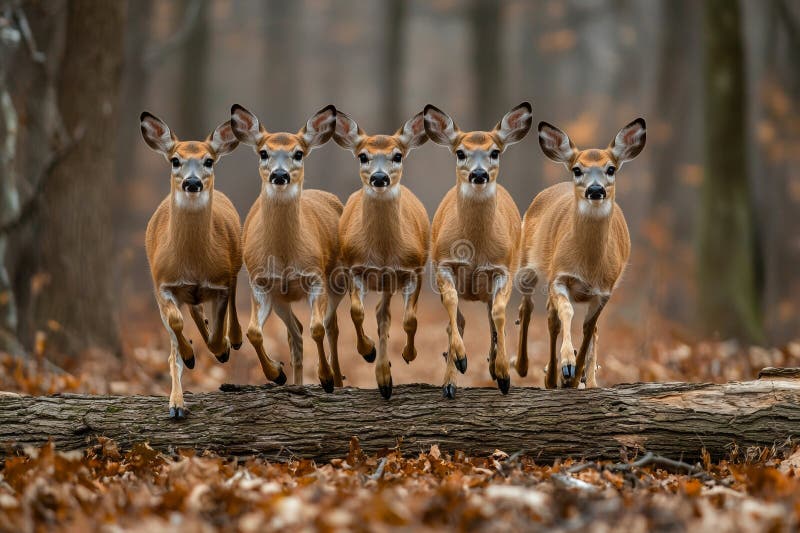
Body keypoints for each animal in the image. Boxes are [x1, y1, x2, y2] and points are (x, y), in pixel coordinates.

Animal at [141, 112, 243, 419]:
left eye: (208, 160)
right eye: (175, 160)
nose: (192, 182)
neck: (193, 263)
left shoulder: (221, 283)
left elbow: (218, 331)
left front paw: (221, 348)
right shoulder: (162, 284)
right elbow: (176, 328)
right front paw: (188, 356)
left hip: (236, 261)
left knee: (231, 304)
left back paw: (231, 340)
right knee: (189, 317)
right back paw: (177, 402)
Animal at [230, 104, 343, 392]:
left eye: (298, 153)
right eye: (263, 152)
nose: (279, 175)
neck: (284, 255)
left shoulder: (315, 277)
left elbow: (318, 328)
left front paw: (326, 378)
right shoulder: (261, 282)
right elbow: (253, 332)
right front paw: (276, 373)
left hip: (338, 278)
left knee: (331, 326)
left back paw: (338, 377)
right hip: (282, 299)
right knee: (297, 332)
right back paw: (297, 382)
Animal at [333, 110, 430, 399]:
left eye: (397, 155)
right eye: (363, 155)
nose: (379, 178)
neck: (384, 252)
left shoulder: (415, 270)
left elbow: (410, 319)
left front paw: (409, 354)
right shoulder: (354, 267)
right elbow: (356, 312)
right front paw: (367, 351)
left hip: (390, 281)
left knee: (383, 315)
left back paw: (386, 377)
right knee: (380, 315)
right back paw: (383, 376)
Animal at [424, 102, 533, 399]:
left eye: (495, 152)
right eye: (460, 152)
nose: (479, 174)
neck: (474, 249)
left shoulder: (503, 268)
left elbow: (499, 314)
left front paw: (504, 374)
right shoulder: (443, 264)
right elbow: (452, 308)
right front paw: (461, 360)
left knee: (492, 317)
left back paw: (493, 368)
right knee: (458, 321)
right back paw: (451, 380)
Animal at [515, 118, 646, 389]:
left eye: (611, 169)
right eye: (577, 169)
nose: (595, 190)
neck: (589, 266)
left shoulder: (604, 292)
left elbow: (588, 329)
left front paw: (575, 376)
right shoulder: (559, 276)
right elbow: (566, 312)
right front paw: (567, 364)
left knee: (568, 322)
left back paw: (578, 378)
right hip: (527, 264)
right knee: (531, 308)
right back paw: (527, 367)